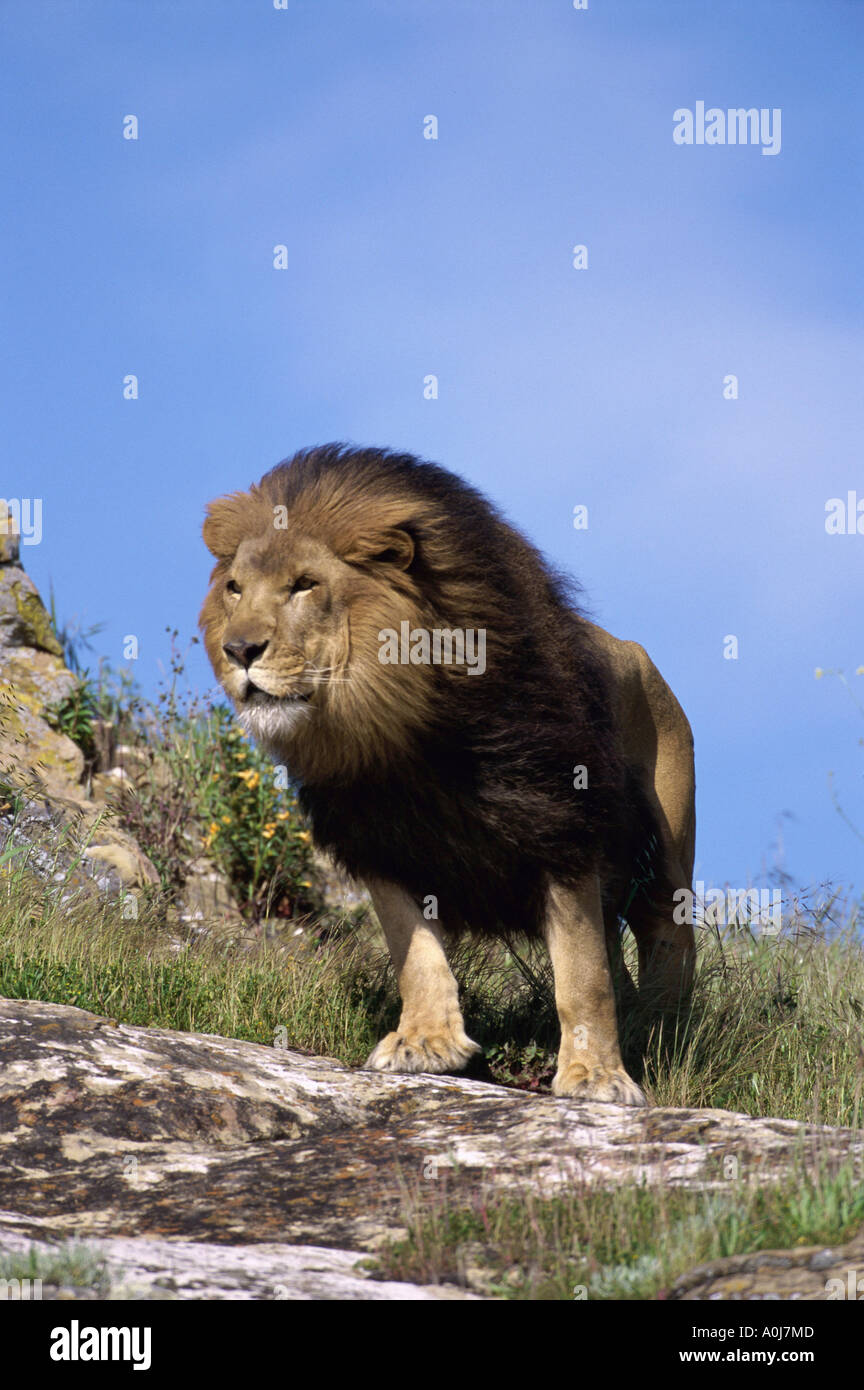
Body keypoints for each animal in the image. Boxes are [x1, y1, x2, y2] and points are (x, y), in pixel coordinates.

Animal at [200, 444, 696, 1106]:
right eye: (234, 589)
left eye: (305, 585)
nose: (238, 650)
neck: (407, 731)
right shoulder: (377, 842)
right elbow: (415, 953)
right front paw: (426, 1043)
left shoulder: (557, 825)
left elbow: (582, 974)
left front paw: (596, 1078)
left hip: (662, 857)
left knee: (668, 945)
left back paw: (658, 1035)